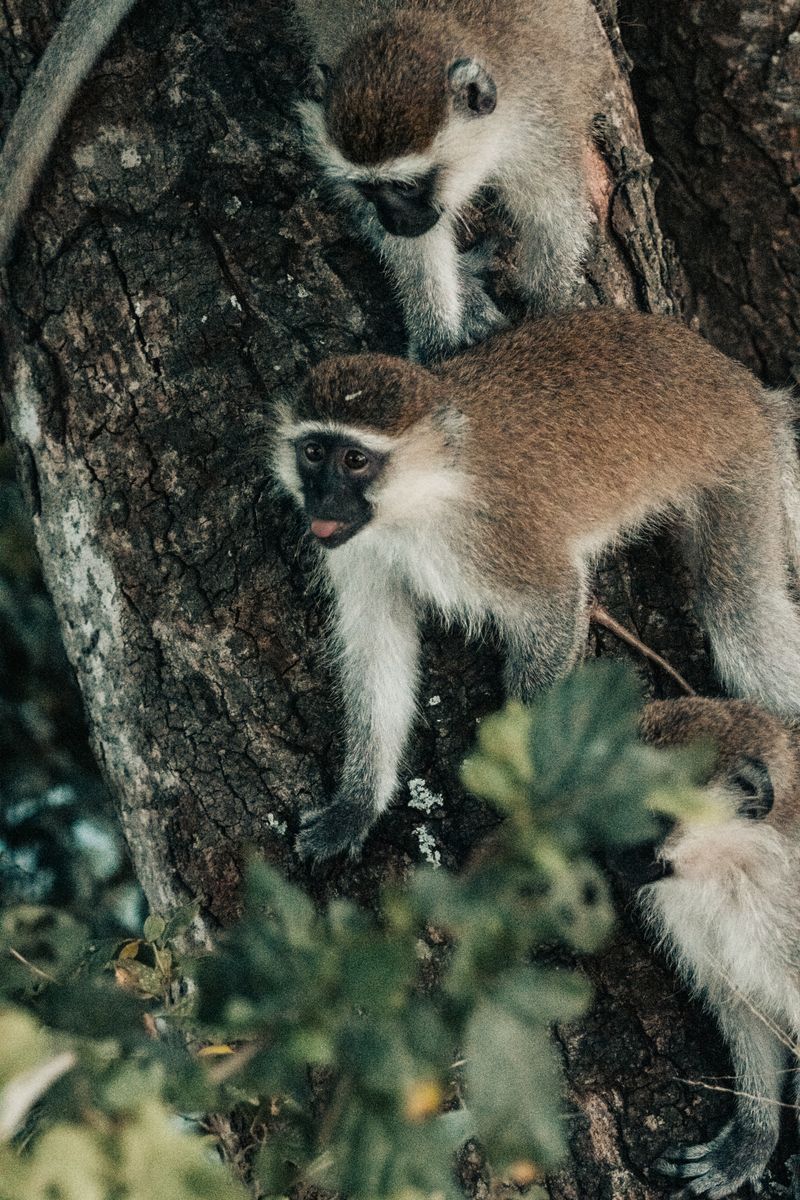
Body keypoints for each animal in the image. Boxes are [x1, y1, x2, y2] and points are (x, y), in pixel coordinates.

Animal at [270, 307, 800, 862]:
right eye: (313, 452)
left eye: (354, 460)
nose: (321, 499)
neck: (420, 499)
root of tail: (743, 385)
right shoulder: (359, 551)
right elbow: (377, 644)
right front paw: (356, 807)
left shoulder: (495, 537)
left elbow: (554, 601)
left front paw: (534, 786)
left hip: (743, 465)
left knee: (739, 609)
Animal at [293, 0, 606, 364]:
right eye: (369, 188)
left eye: (406, 187)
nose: (394, 221)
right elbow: (416, 248)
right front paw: (435, 338)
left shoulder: (540, 128)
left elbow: (554, 215)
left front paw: (547, 309)